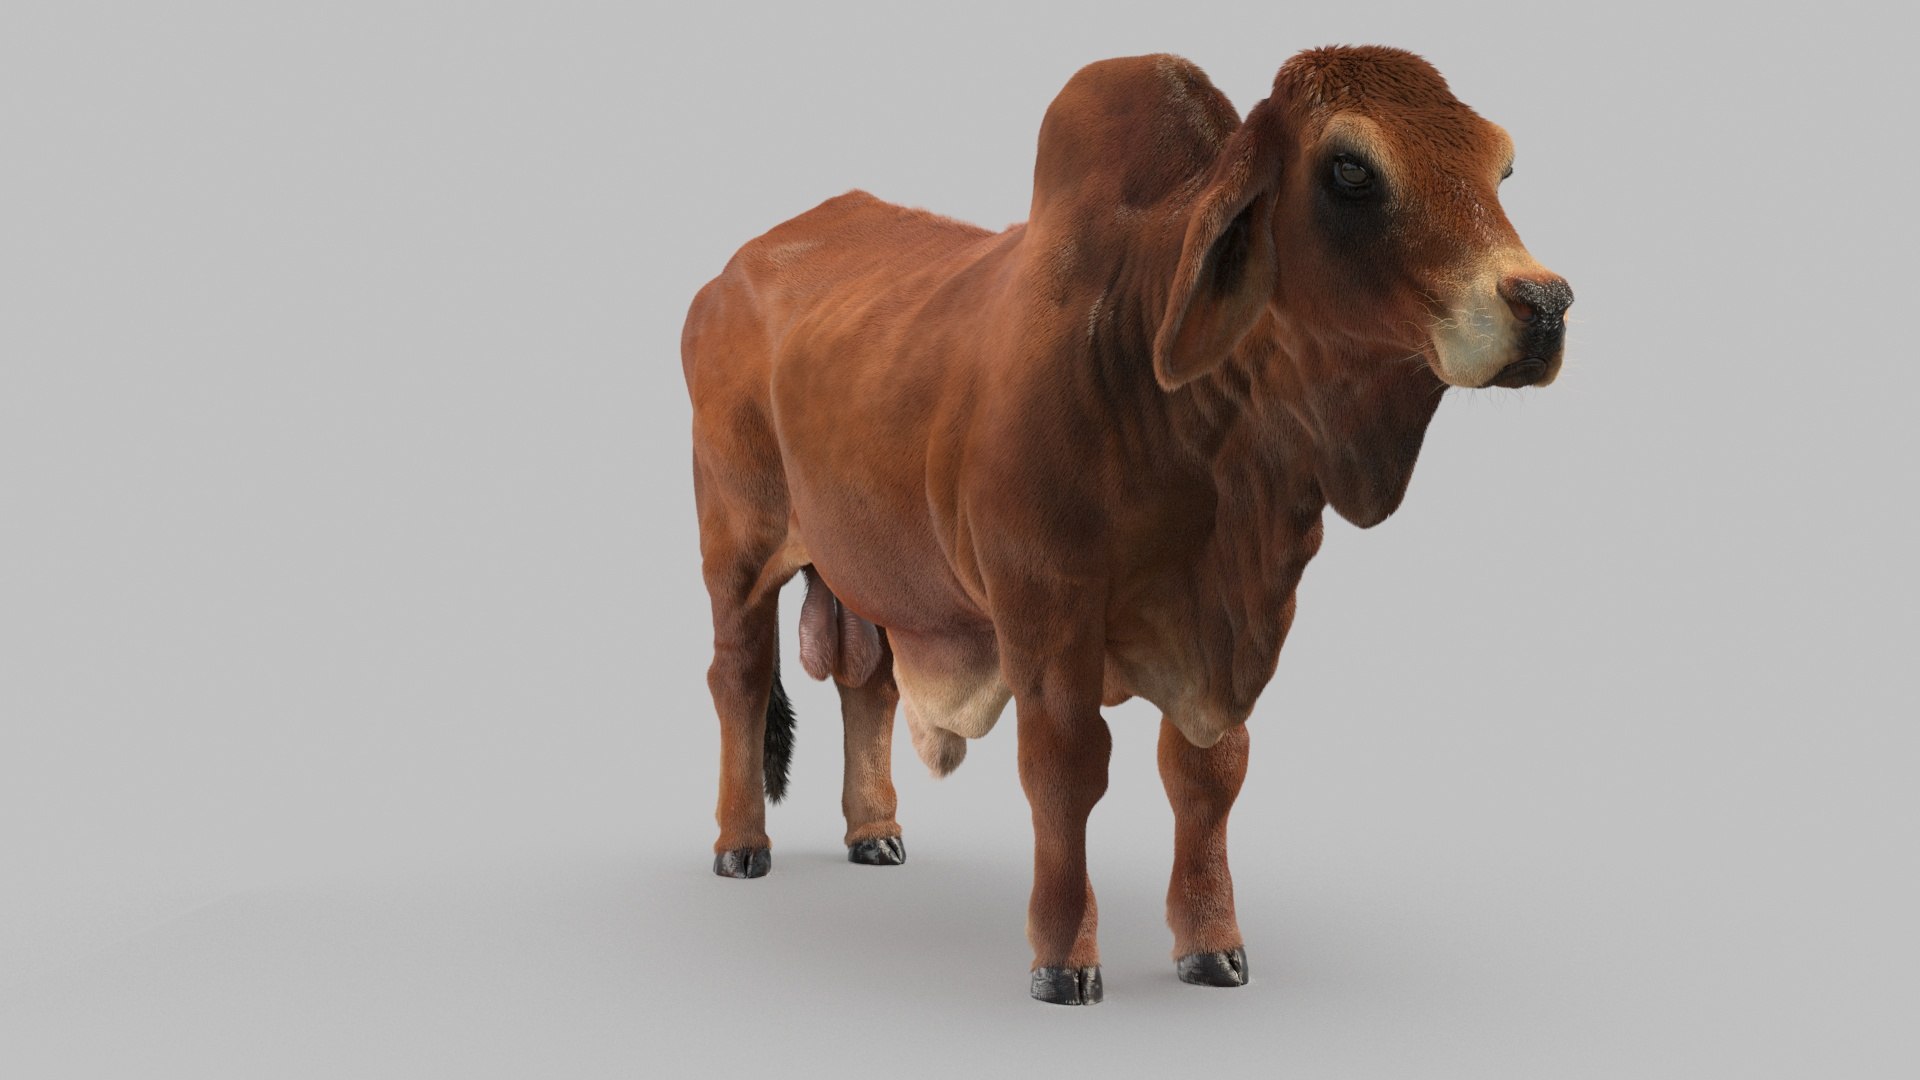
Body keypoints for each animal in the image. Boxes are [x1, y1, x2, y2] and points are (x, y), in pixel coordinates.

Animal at [680, 46, 1571, 1004]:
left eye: (1502, 166)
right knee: (738, 676)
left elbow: (1209, 774)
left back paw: (874, 832)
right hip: (736, 543)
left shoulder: (1232, 632)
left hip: (875, 575)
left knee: (868, 684)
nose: (1543, 302)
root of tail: (723, 280)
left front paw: (1212, 943)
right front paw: (1063, 956)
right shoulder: (1045, 607)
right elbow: (1066, 771)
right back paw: (741, 844)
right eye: (1350, 169)